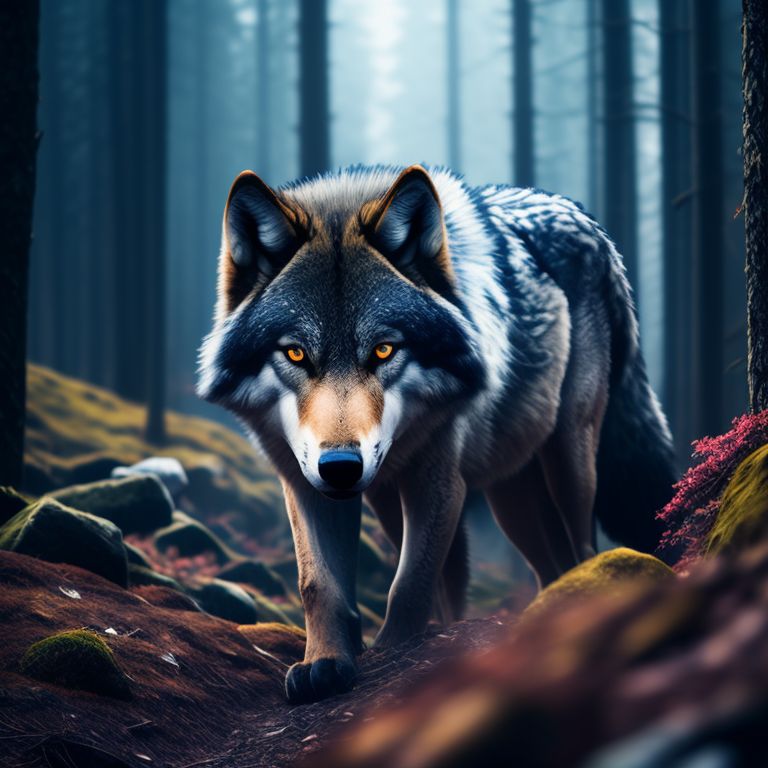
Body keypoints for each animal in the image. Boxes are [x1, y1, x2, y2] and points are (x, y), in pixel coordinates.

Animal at [198, 164, 676, 704]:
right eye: (296, 353)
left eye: (384, 350)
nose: (340, 467)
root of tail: (583, 217)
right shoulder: (305, 484)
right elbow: (318, 583)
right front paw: (325, 663)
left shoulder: (438, 479)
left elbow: (409, 585)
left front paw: (393, 658)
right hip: (496, 499)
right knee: (547, 566)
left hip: (568, 461)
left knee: (584, 545)